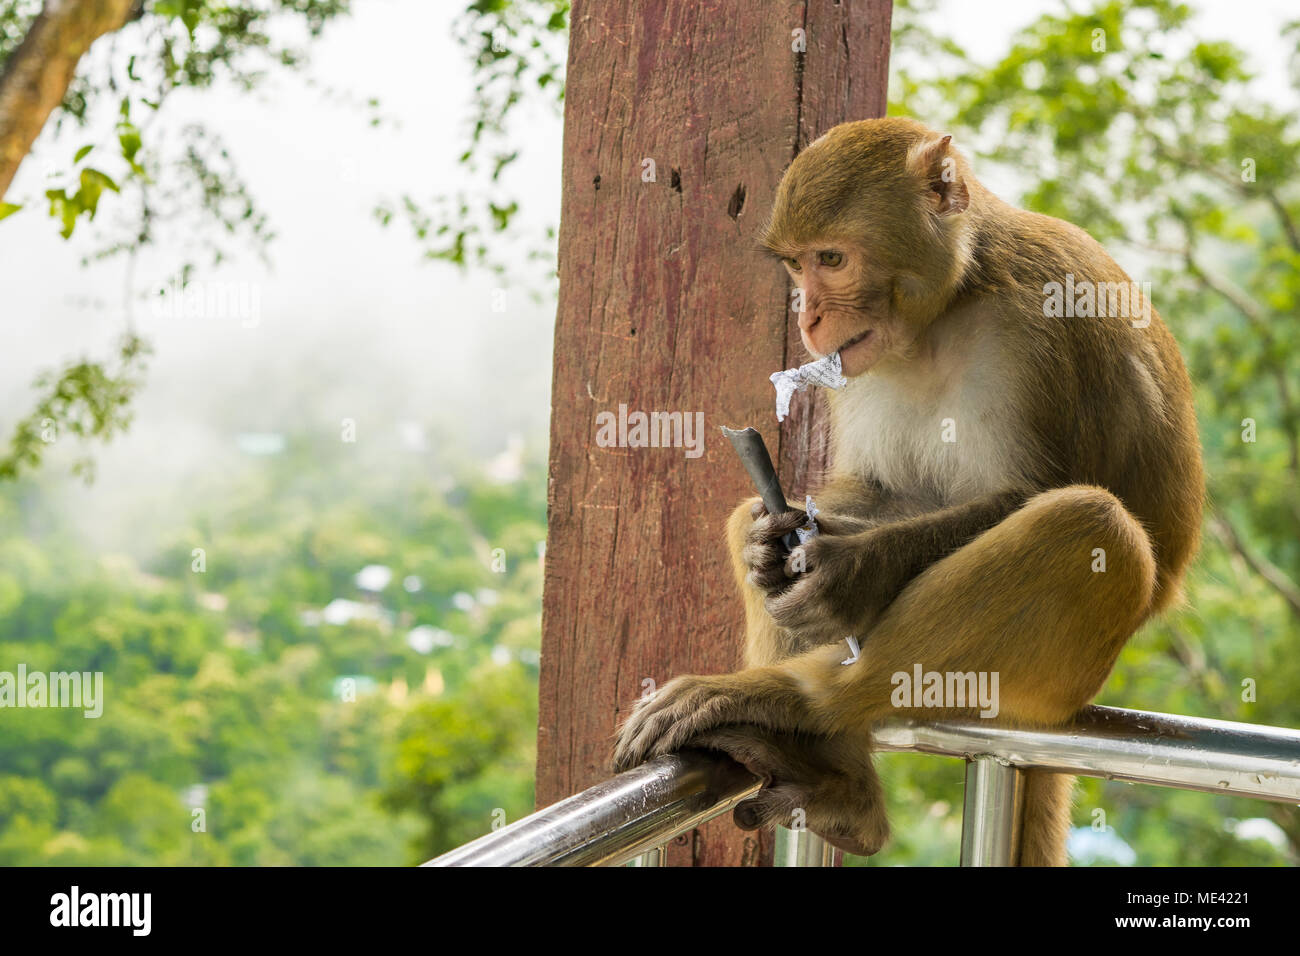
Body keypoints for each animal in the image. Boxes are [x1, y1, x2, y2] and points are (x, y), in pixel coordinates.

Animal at [611, 117, 1204, 865]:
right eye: (796, 265)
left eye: (832, 258)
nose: (808, 319)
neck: (945, 309)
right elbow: (874, 487)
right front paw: (767, 542)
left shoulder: (1030, 329)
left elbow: (1024, 493)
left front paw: (851, 570)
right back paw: (838, 782)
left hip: (1047, 687)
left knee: (1091, 526)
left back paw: (806, 701)